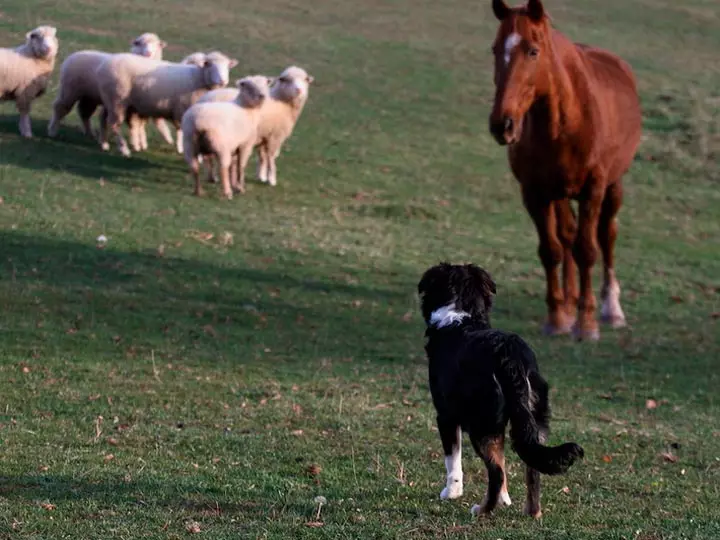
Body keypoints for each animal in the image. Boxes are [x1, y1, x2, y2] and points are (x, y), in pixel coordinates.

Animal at [94, 50, 236, 156]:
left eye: (228, 66)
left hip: (110, 100)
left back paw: (104, 143)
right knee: (113, 125)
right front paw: (181, 148)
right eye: (209, 64)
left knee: (103, 118)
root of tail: (104, 65)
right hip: (117, 100)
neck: (198, 77)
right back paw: (124, 149)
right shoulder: (181, 109)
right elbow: (180, 130)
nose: (223, 81)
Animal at [420, 262, 584, 520]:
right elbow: (505, 463)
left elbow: (453, 460)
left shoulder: (446, 416)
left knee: (495, 472)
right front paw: (504, 500)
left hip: (481, 424)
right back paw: (531, 512)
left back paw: (481, 510)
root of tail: (510, 356)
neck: (461, 318)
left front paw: (452, 492)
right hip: (531, 420)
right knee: (531, 468)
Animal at [490, 0, 640, 342]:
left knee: (607, 234)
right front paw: (558, 318)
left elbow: (587, 249)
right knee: (567, 235)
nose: (503, 125)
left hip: (613, 185)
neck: (565, 122)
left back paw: (611, 308)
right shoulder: (535, 193)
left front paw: (587, 325)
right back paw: (570, 302)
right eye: (494, 49)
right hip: (559, 192)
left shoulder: (592, 189)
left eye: (533, 51)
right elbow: (552, 250)